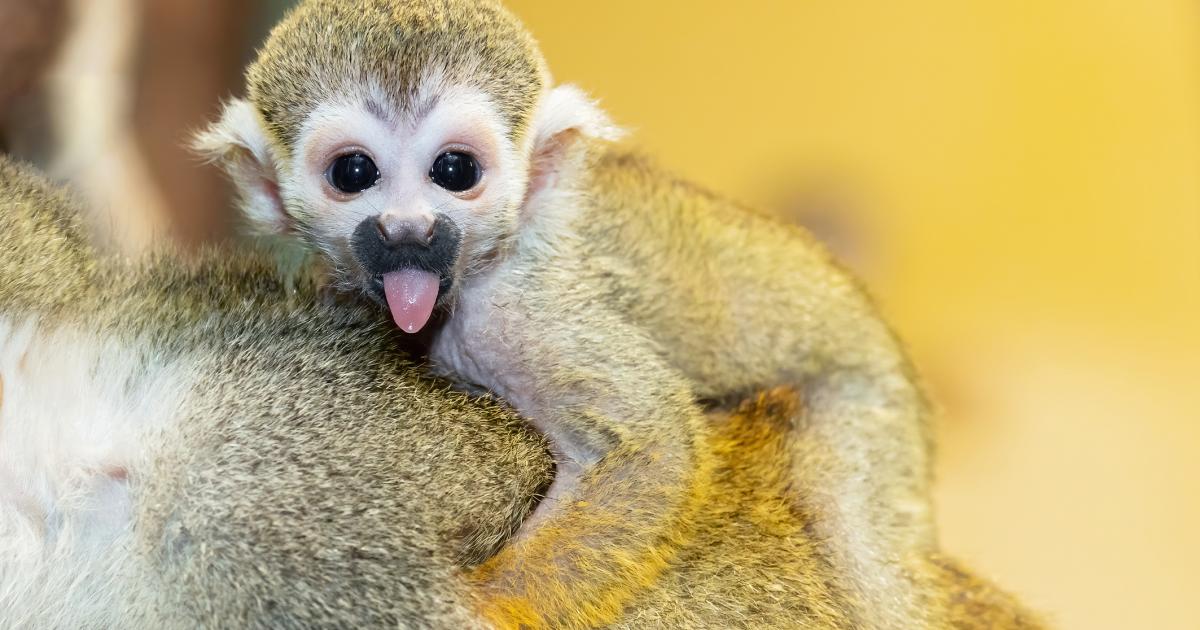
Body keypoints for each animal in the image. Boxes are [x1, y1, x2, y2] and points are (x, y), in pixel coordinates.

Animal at [194, 1, 943, 627]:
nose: (408, 231)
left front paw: (487, 608)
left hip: (867, 413)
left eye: (455, 170)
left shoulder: (516, 313)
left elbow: (651, 444)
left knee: (868, 559)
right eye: (353, 173)